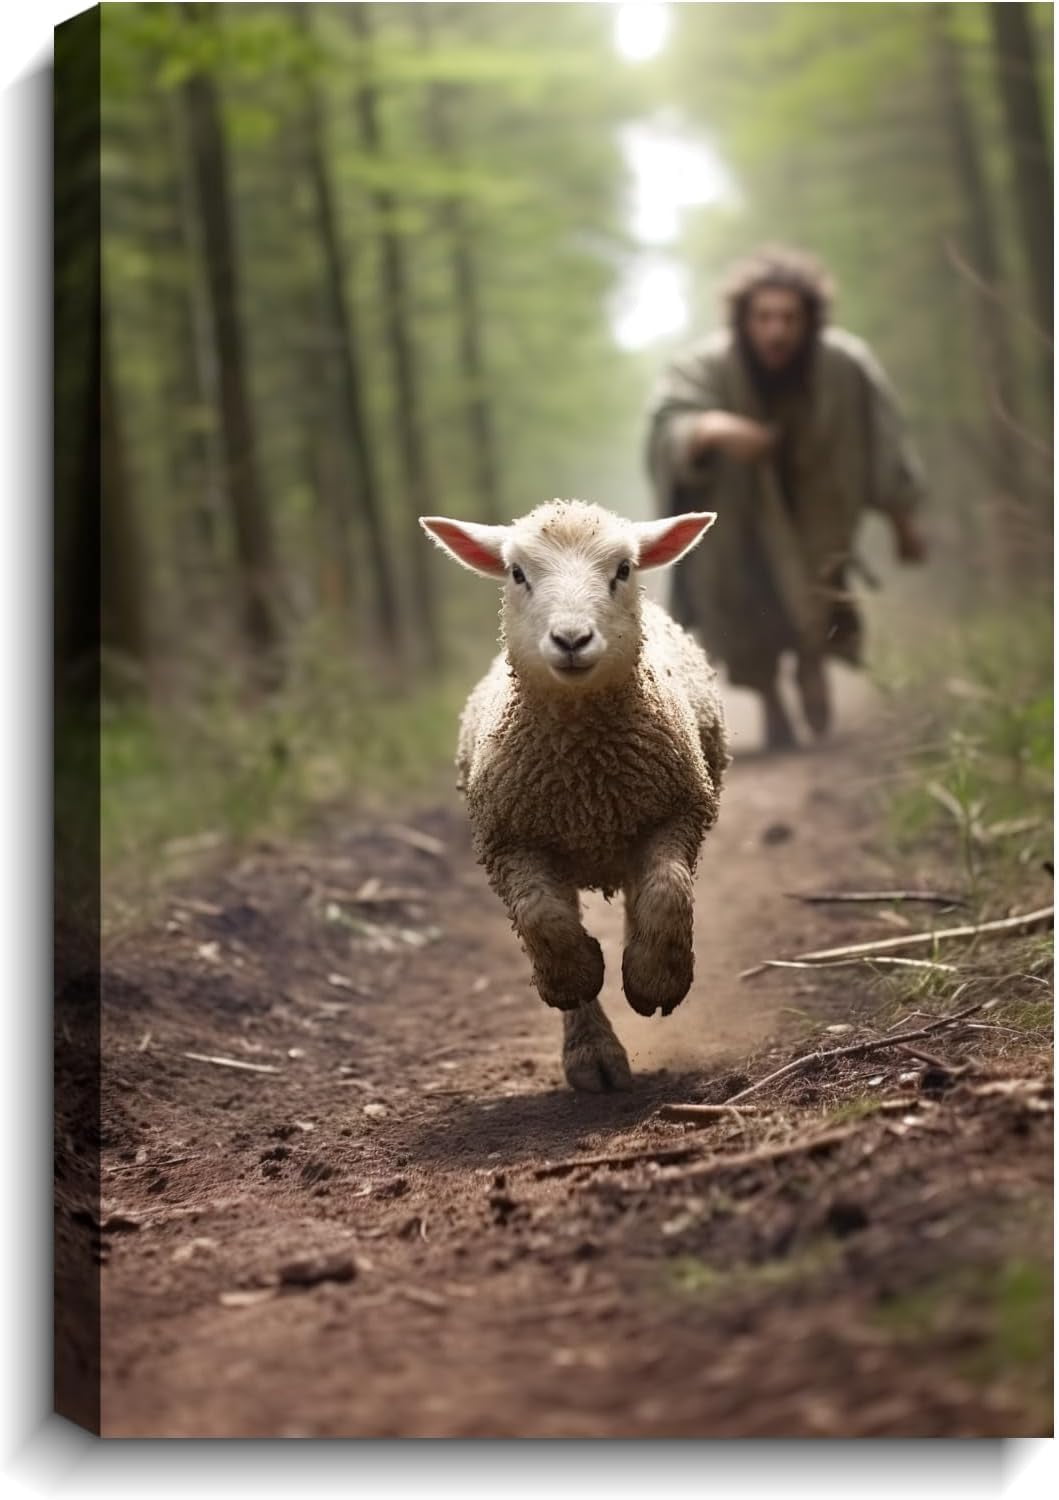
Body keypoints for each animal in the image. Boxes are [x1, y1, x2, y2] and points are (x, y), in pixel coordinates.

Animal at [420, 499, 728, 1092]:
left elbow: (667, 890)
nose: (570, 640)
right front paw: (577, 979)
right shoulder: (510, 840)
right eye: (517, 573)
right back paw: (594, 1058)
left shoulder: (679, 811)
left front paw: (655, 980)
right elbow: (544, 919)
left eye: (624, 569)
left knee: (645, 892)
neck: (587, 777)